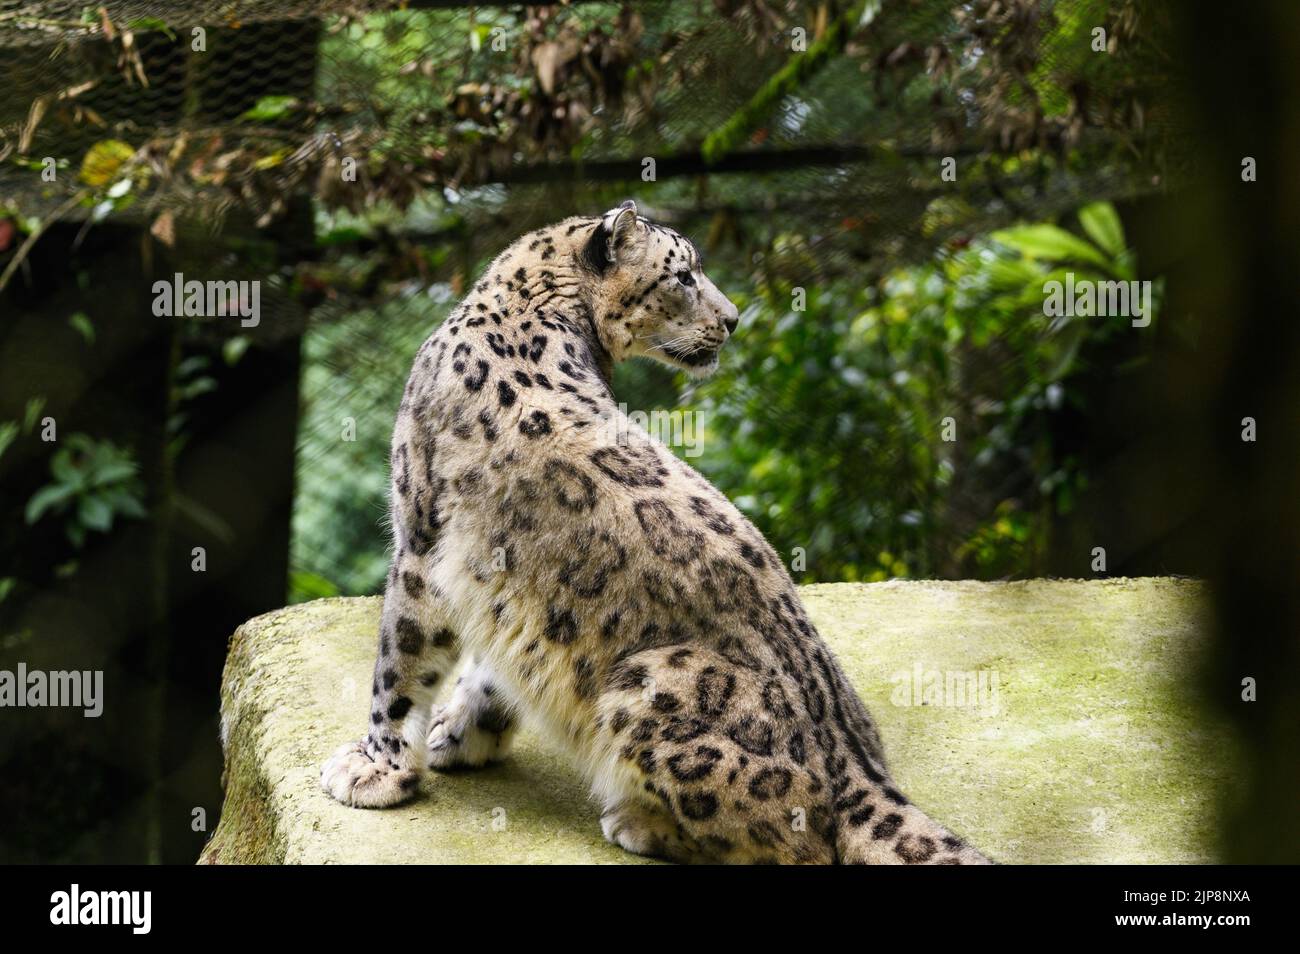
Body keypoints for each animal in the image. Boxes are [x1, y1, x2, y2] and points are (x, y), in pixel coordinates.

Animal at [319, 200, 990, 864]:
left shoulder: (418, 540)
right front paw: (455, 736)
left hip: (648, 683)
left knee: (794, 840)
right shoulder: (491, 577)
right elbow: (487, 664)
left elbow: (399, 665)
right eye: (683, 275)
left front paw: (375, 768)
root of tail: (859, 766)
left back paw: (638, 823)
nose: (733, 320)